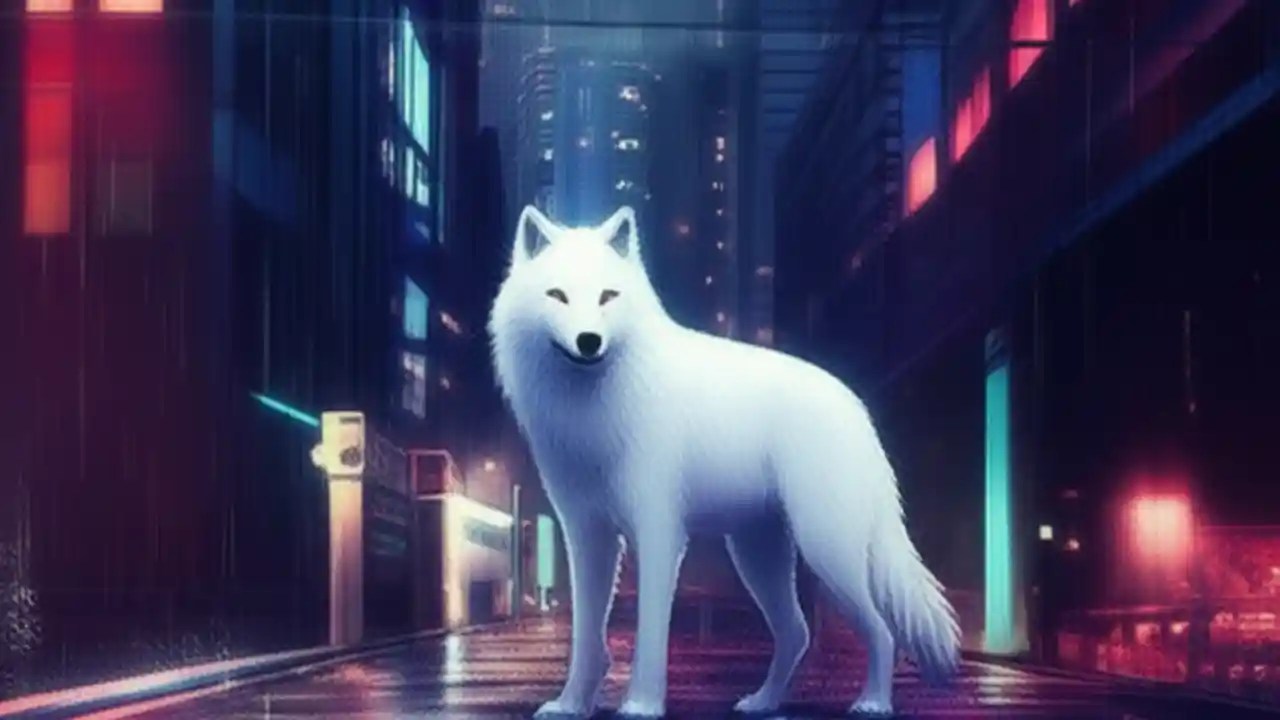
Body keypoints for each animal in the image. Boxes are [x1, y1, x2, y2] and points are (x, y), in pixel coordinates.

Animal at [488, 205, 960, 718]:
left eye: (608, 296)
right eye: (558, 295)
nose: (589, 340)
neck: (594, 404)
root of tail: (859, 410)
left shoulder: (659, 532)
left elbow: (650, 633)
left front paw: (642, 704)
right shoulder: (587, 534)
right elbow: (587, 637)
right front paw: (572, 704)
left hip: (825, 550)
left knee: (880, 630)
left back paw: (873, 702)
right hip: (757, 556)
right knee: (797, 633)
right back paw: (762, 702)